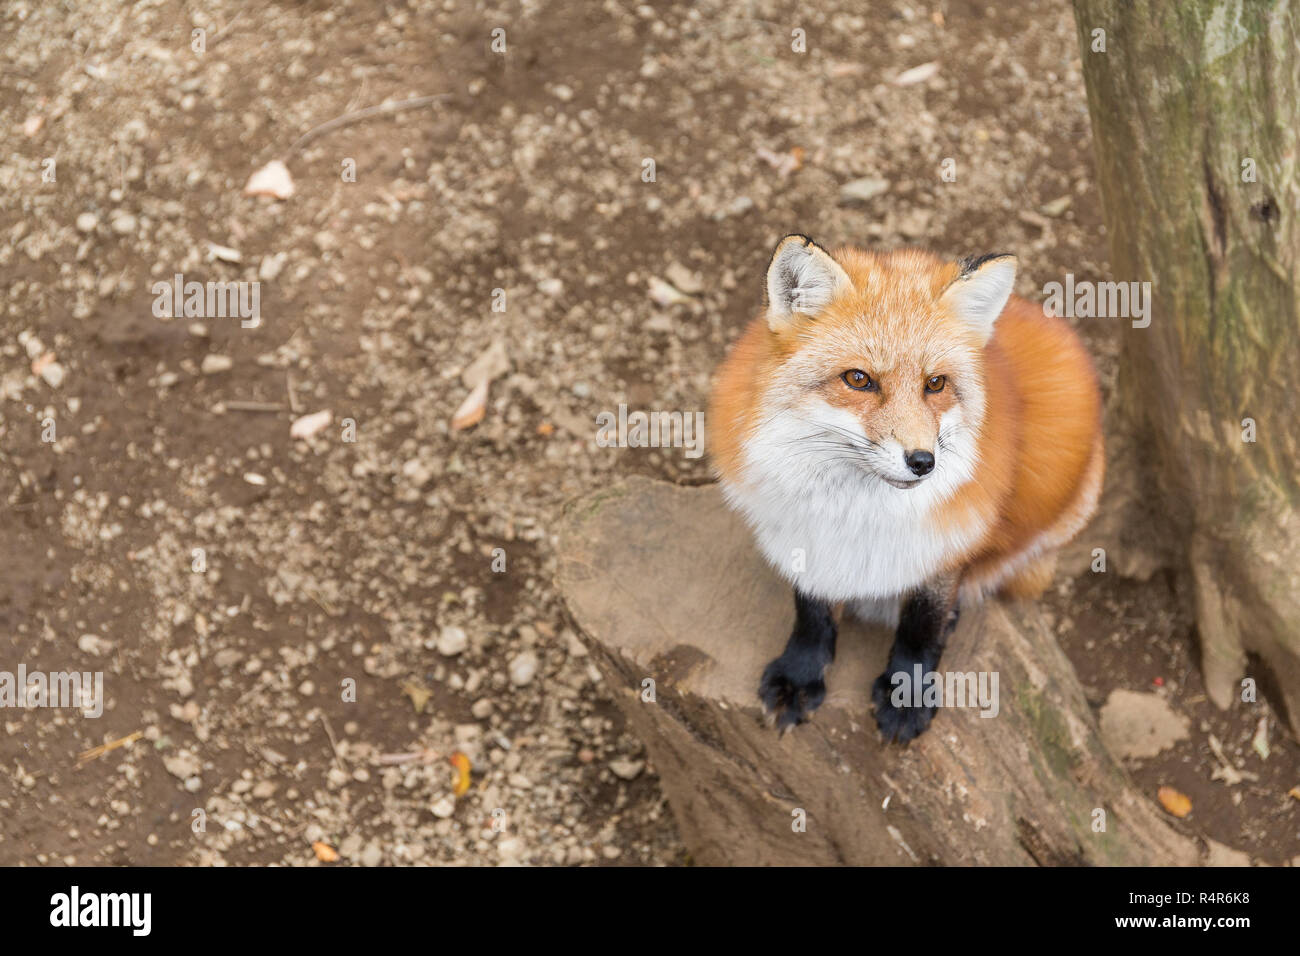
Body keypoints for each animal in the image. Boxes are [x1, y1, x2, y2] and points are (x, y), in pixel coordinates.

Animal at [709, 234, 1104, 743]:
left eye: (935, 383)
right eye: (858, 379)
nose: (922, 462)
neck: (856, 513)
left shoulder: (944, 544)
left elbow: (921, 624)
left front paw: (907, 695)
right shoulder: (803, 533)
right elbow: (811, 612)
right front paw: (799, 675)